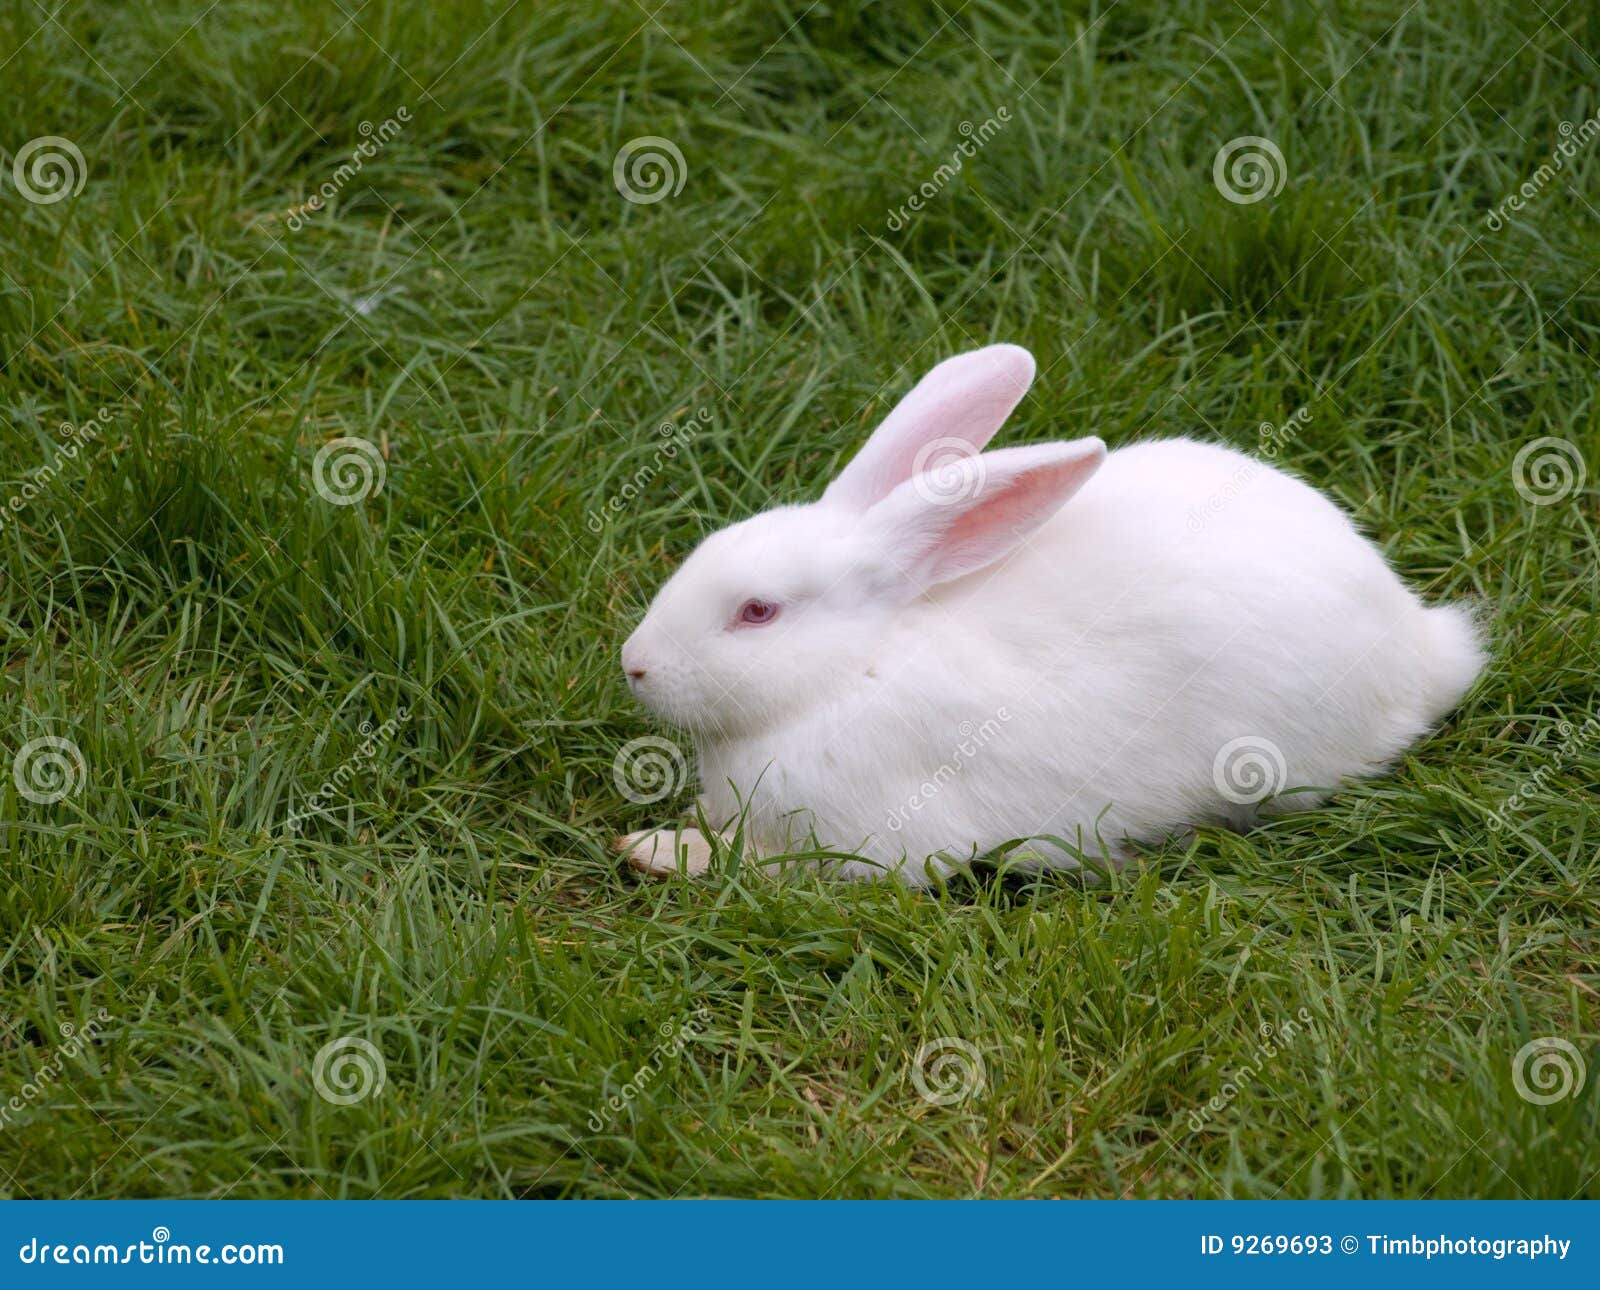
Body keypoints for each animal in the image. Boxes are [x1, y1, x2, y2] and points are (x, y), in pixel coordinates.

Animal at [615, 343, 1485, 885]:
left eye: (757, 612)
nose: (635, 664)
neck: (852, 669)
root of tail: (1425, 644)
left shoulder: (879, 841)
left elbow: (770, 866)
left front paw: (659, 849)